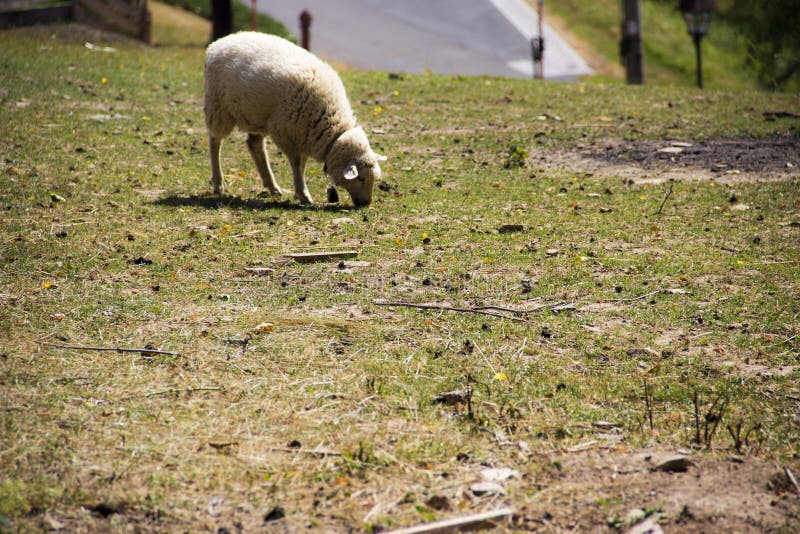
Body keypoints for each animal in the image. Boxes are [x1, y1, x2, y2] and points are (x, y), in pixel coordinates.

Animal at [204, 32, 385, 206]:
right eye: (360, 178)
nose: (366, 203)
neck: (332, 130)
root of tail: (219, 42)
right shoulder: (286, 134)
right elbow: (298, 164)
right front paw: (303, 195)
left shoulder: (303, 135)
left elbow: (302, 163)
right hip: (218, 106)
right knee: (215, 141)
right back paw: (218, 184)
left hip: (257, 114)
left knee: (254, 144)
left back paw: (272, 186)